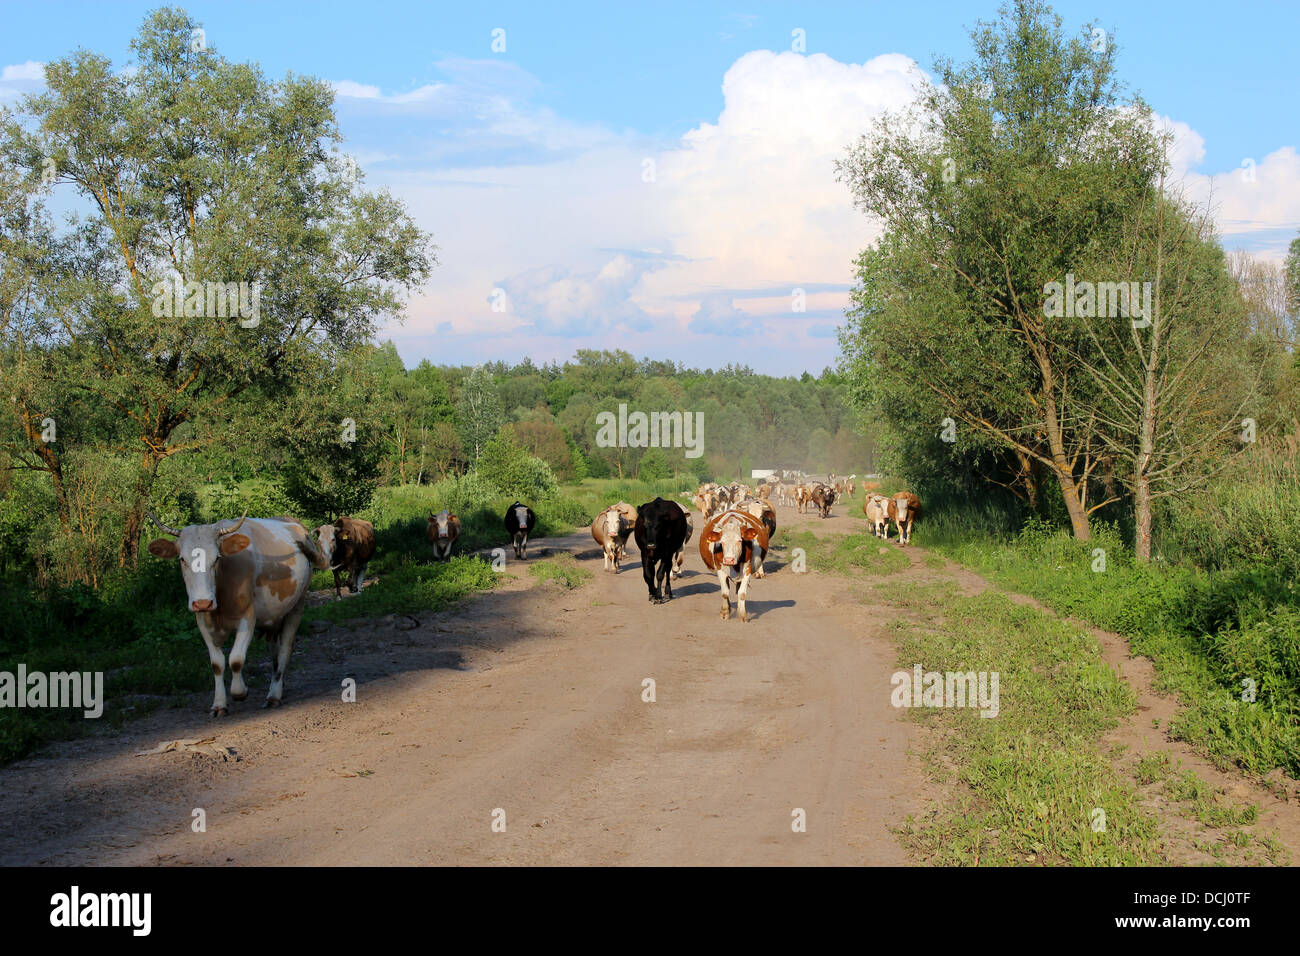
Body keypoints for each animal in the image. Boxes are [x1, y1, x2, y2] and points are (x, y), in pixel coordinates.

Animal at [146, 511, 323, 715]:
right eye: (182, 559)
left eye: (217, 558)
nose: (203, 602)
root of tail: (293, 522)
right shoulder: (203, 621)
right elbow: (217, 664)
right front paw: (219, 704)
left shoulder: (248, 618)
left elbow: (236, 659)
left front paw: (240, 692)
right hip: (274, 618)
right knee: (275, 652)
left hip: (297, 606)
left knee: (285, 649)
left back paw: (274, 695)